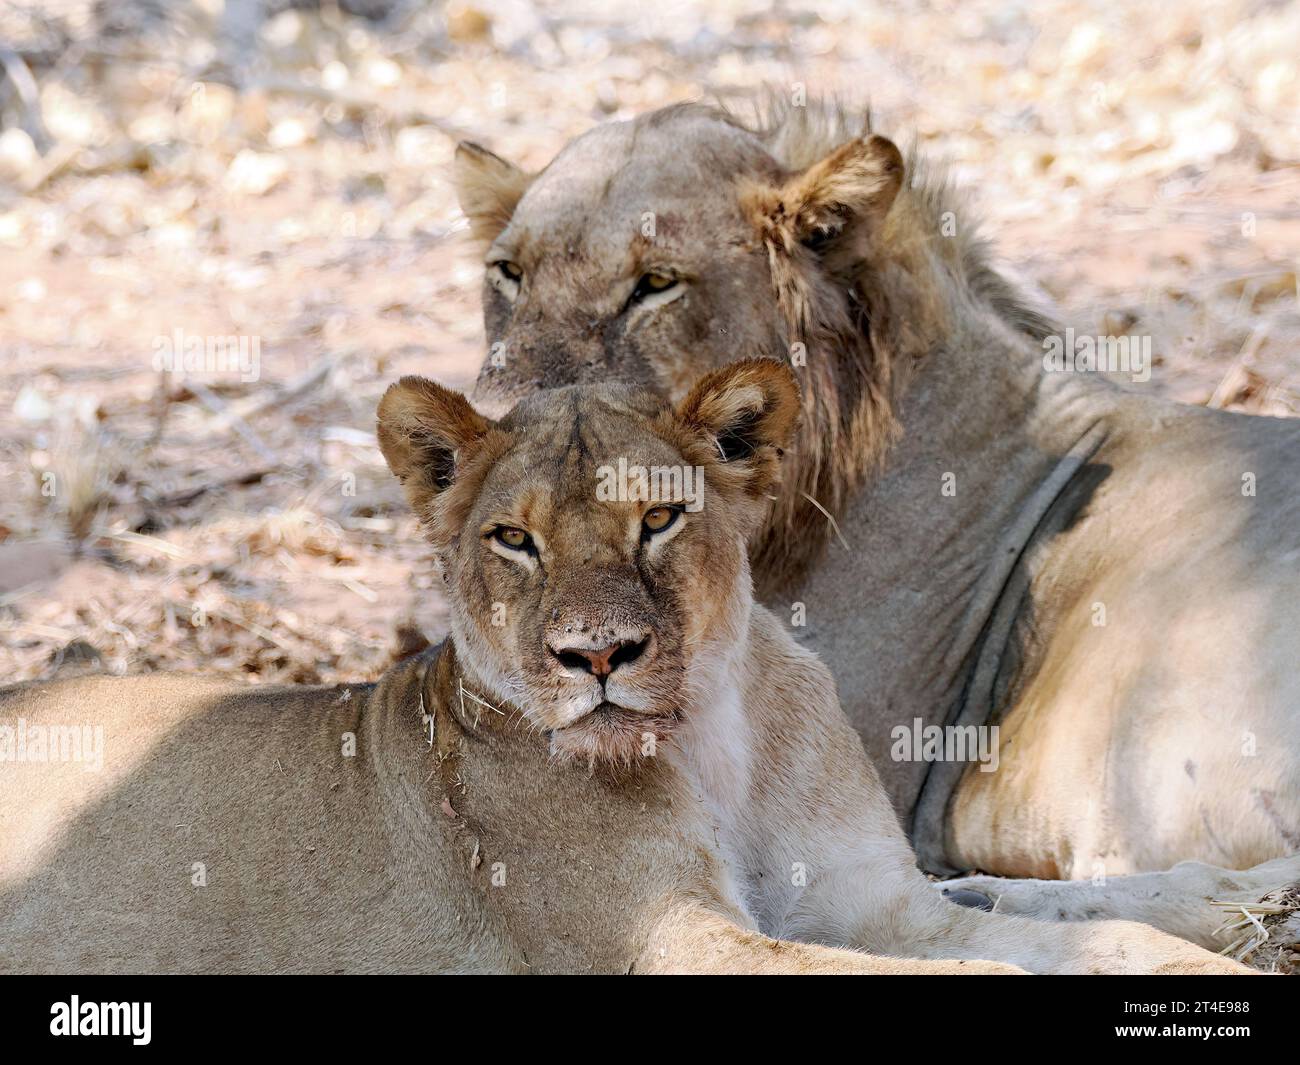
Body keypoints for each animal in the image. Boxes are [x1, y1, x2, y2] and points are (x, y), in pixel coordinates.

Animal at [0, 361, 1246, 973]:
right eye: (514, 539)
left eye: (656, 520)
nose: (596, 654)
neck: (716, 742)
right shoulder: (665, 944)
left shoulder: (875, 901)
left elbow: (1089, 931)